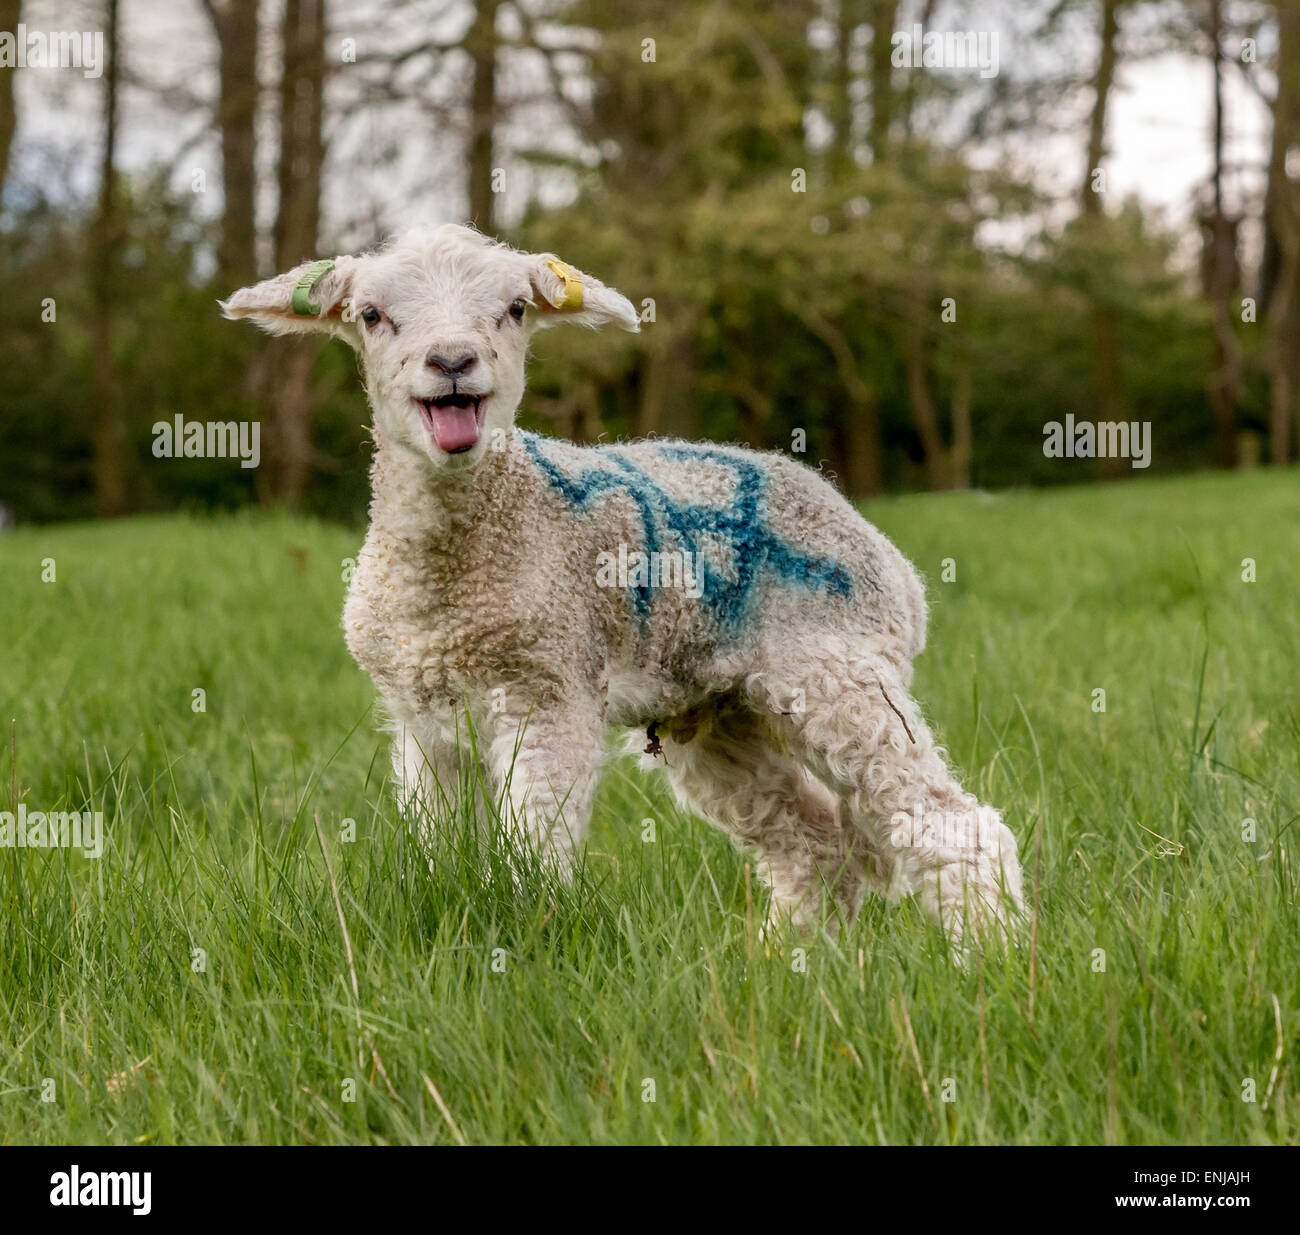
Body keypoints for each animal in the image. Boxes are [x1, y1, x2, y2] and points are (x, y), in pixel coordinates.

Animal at [222, 223, 1024, 951]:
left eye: (514, 308)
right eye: (371, 314)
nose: (453, 362)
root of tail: (890, 559)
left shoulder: (549, 688)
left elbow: (534, 848)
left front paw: (531, 933)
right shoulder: (420, 715)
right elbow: (439, 853)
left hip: (837, 668)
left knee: (950, 820)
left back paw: (992, 958)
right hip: (719, 709)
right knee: (816, 841)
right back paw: (788, 964)